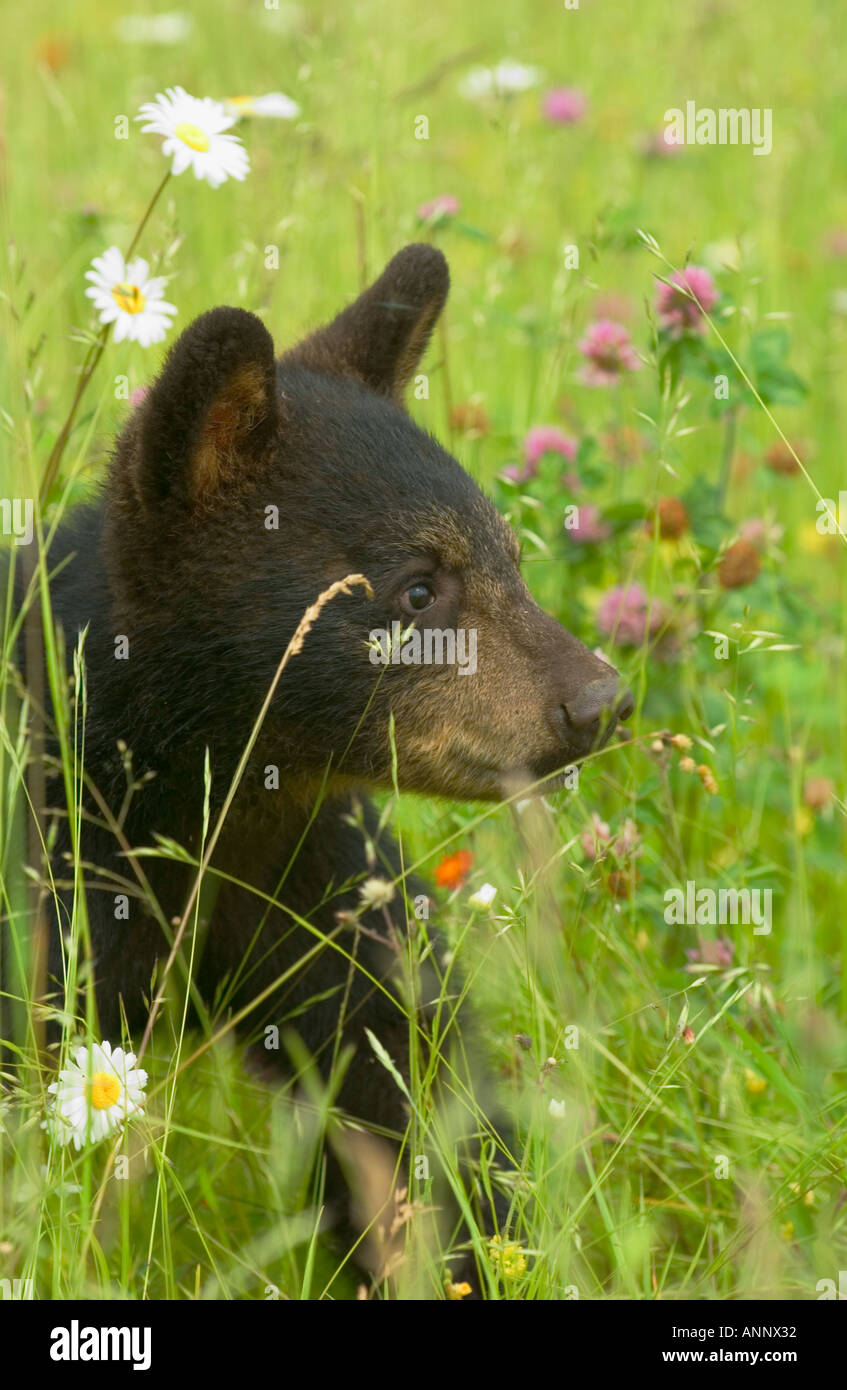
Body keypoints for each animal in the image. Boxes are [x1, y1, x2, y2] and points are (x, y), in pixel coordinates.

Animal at [12, 243, 633, 1283]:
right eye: (417, 588)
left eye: (510, 558)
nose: (599, 701)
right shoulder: (62, 877)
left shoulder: (321, 882)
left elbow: (403, 1078)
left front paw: (468, 1248)